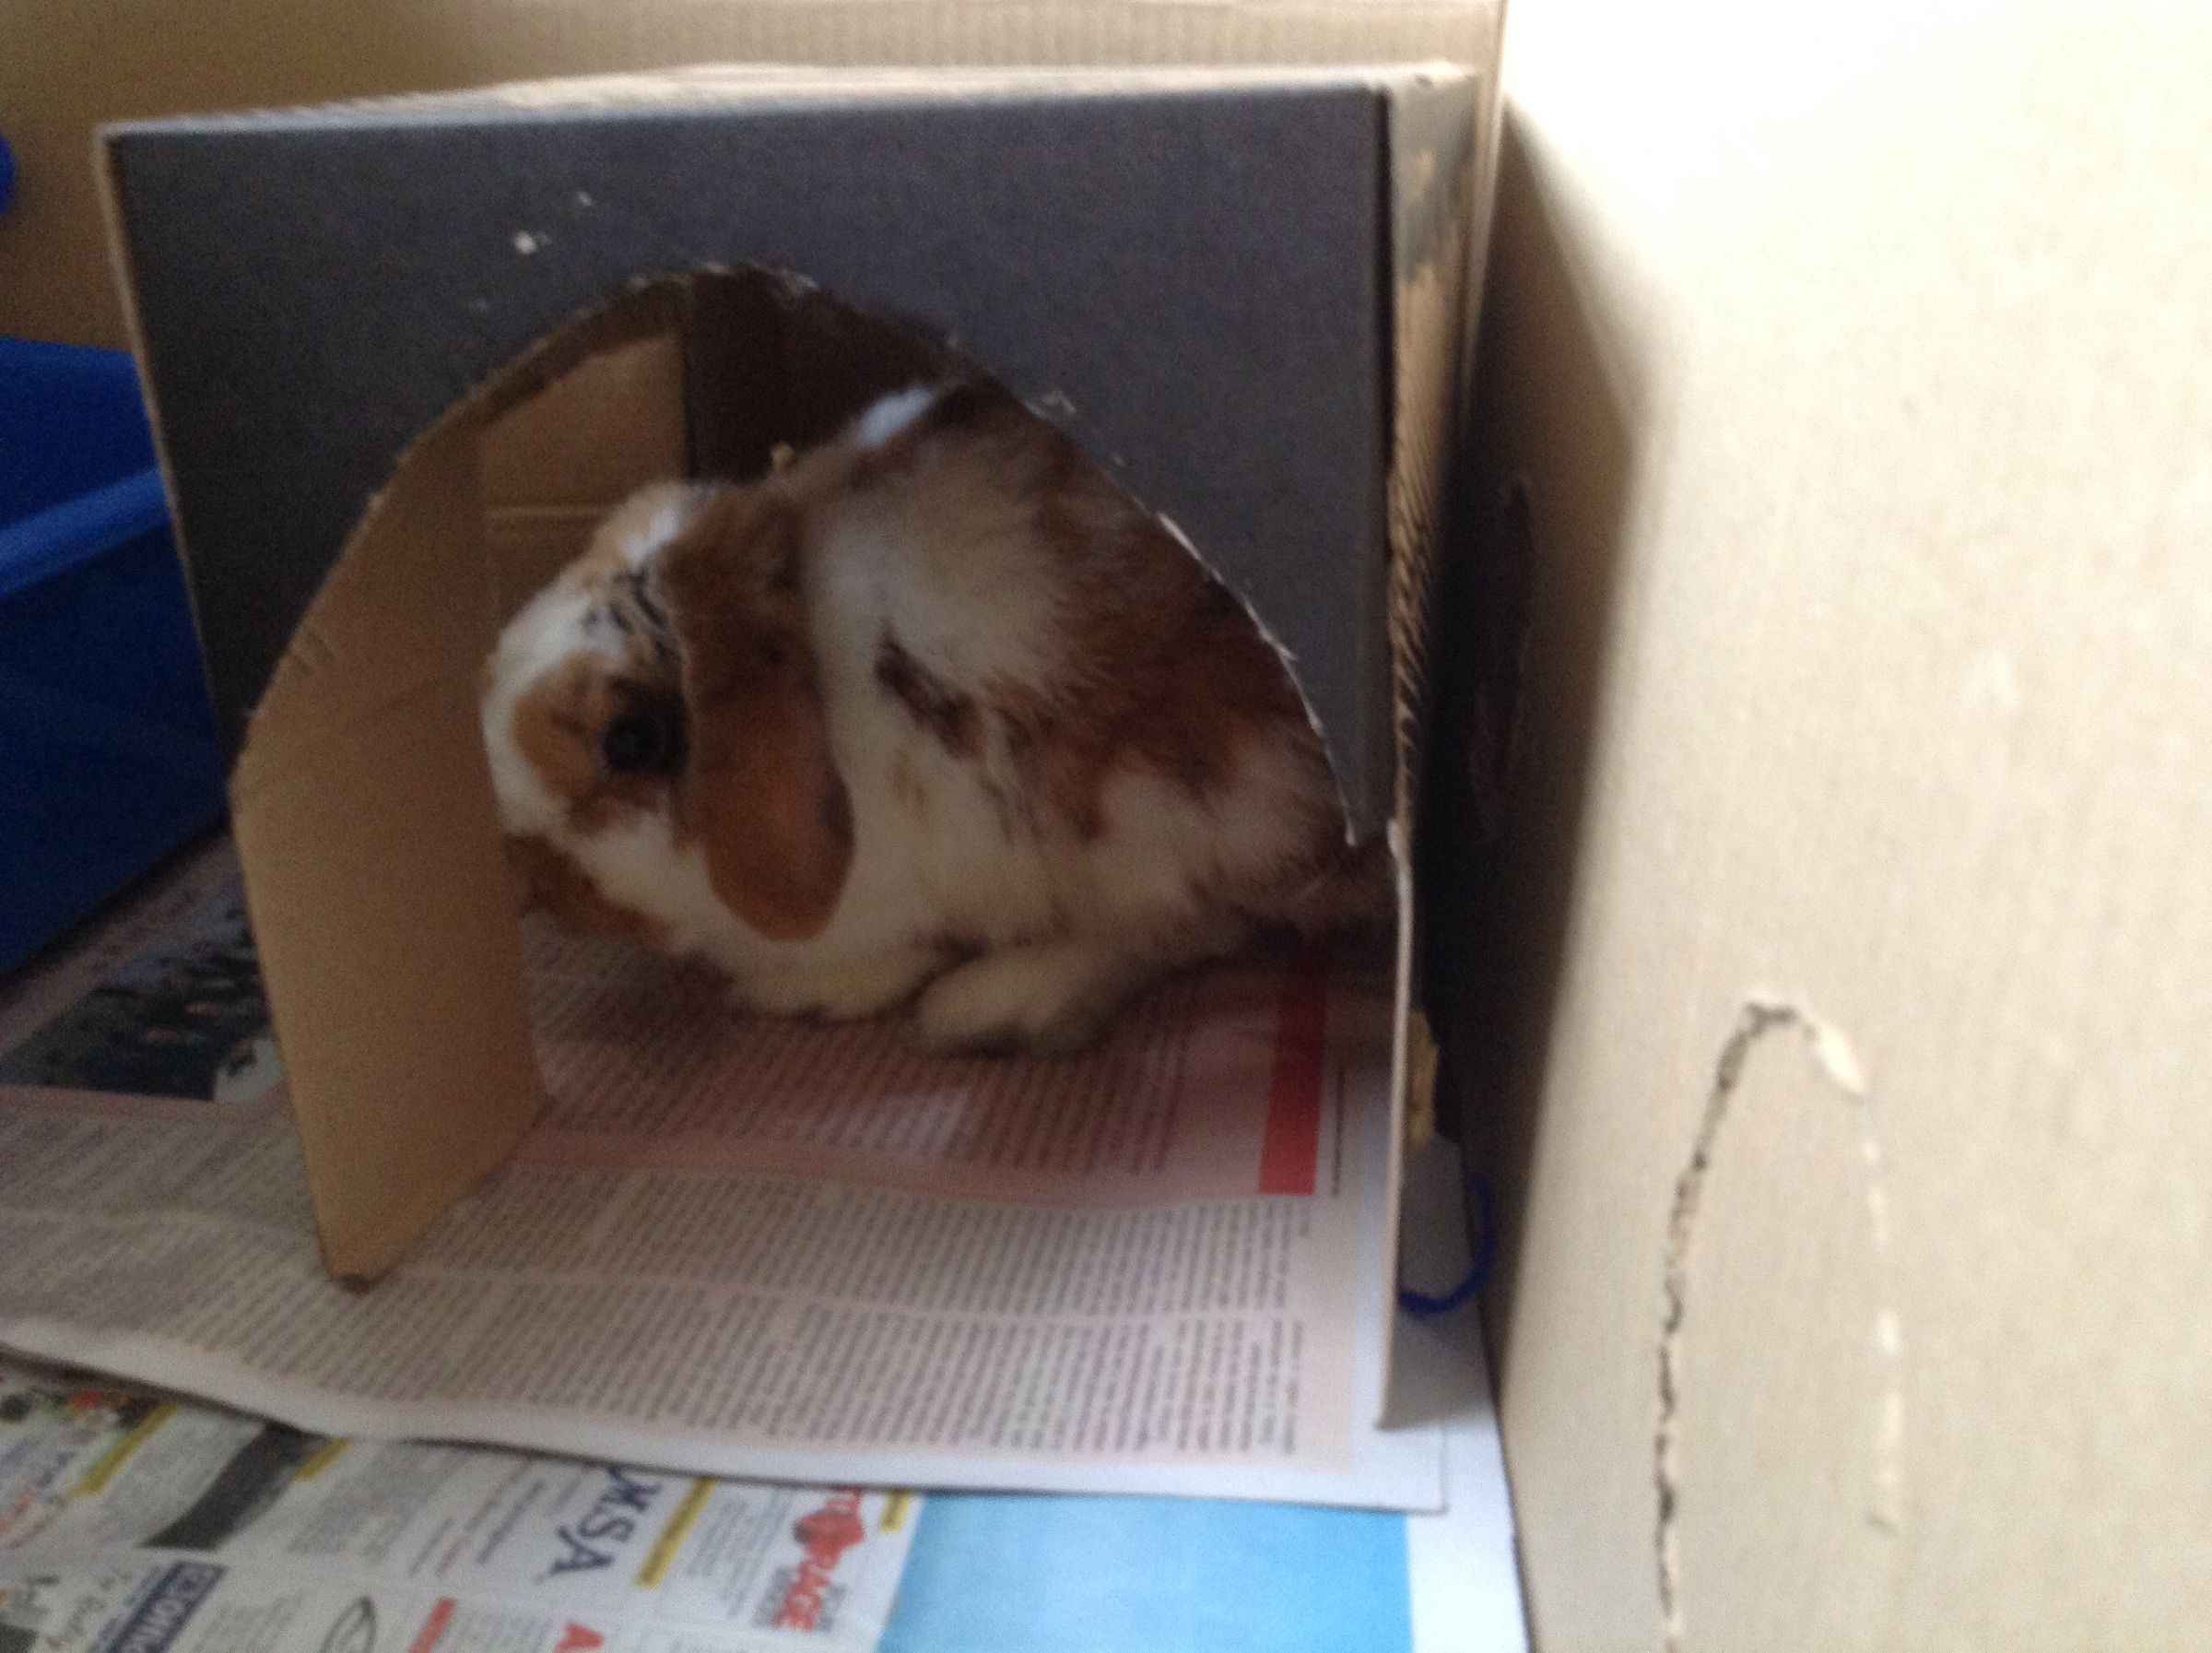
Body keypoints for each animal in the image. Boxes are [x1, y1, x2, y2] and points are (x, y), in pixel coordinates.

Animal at [480, 379, 1388, 1055]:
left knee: (1190, 926)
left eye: (633, 739)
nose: (528, 873)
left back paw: (987, 1006)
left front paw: (802, 993)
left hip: (1172, 810)